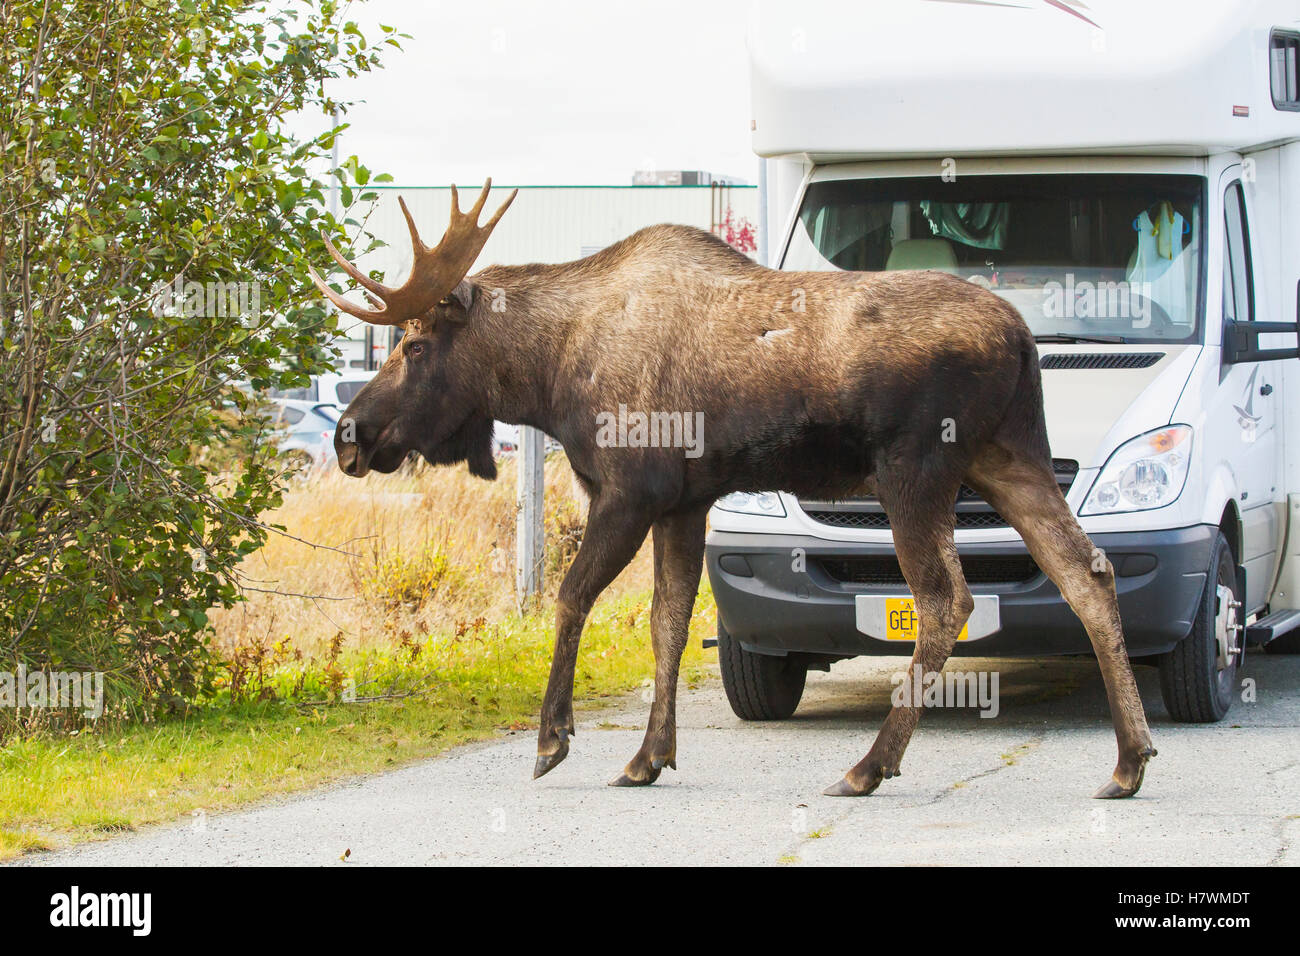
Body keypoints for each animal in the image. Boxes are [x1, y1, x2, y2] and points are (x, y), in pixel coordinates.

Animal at [309, 180, 1157, 799]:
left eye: (416, 345)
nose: (348, 434)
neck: (549, 378)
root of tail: (1021, 337)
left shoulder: (630, 490)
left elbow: (573, 597)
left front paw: (553, 739)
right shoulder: (685, 500)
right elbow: (669, 621)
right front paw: (648, 757)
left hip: (915, 470)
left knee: (948, 597)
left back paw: (869, 766)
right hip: (1009, 456)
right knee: (1086, 572)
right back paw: (1128, 759)